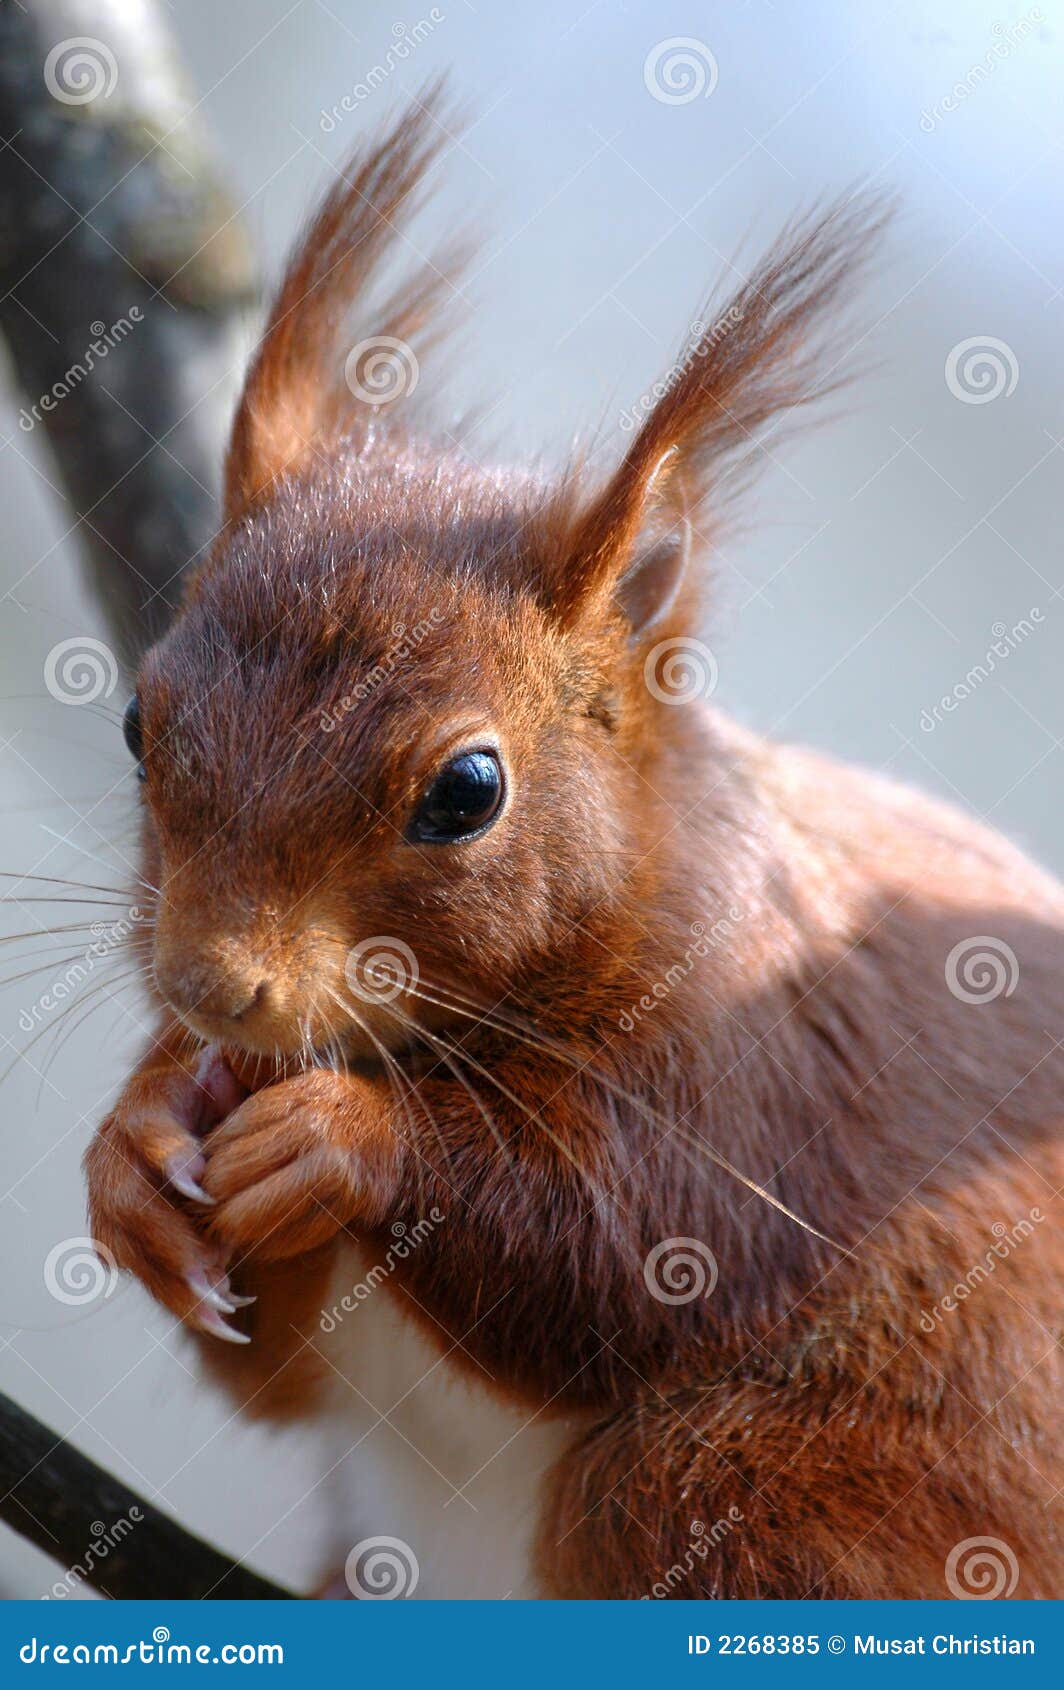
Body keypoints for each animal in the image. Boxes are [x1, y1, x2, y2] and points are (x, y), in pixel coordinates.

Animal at [84, 90, 1062, 1600]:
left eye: (467, 788)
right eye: (139, 721)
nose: (208, 985)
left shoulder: (765, 1057)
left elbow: (632, 1255)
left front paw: (342, 1138)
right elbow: (271, 1372)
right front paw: (131, 1145)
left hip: (750, 1484)